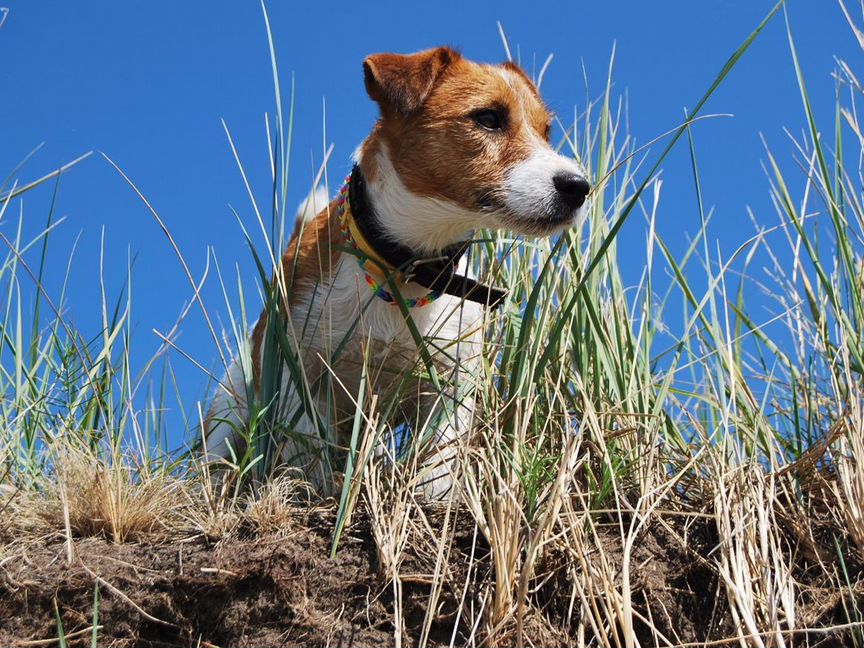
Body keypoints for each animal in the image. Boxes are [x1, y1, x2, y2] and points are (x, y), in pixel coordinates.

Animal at [206, 48, 592, 498]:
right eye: (488, 118)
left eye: (546, 132)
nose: (579, 186)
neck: (405, 265)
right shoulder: (295, 366)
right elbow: (306, 448)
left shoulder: (453, 382)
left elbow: (440, 462)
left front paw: (433, 498)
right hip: (230, 407)